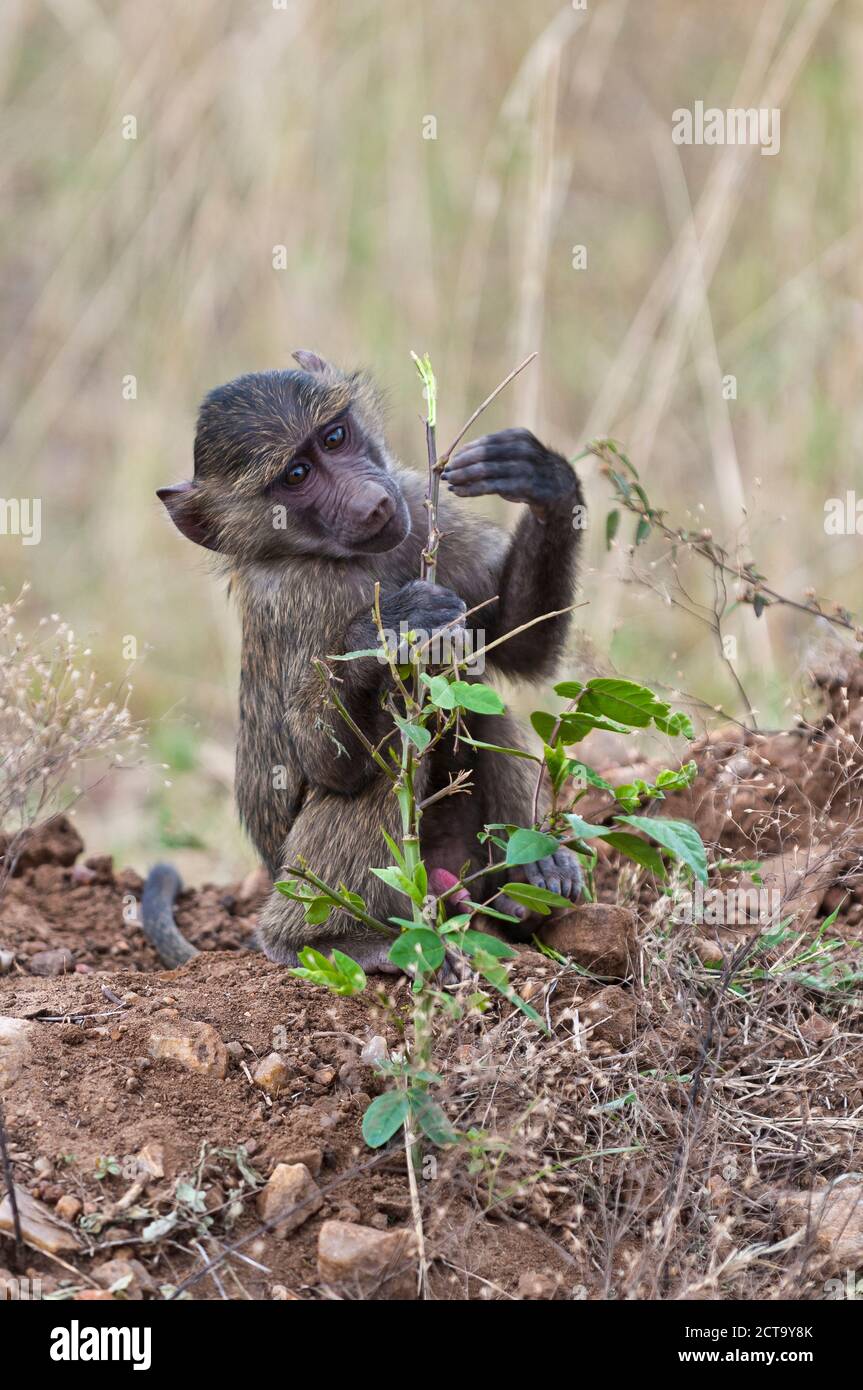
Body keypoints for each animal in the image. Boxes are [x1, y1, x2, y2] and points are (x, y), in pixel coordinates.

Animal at [142, 350, 586, 975]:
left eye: (334, 437)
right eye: (296, 476)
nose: (373, 504)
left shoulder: (418, 506)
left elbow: (517, 646)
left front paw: (543, 480)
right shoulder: (301, 598)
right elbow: (331, 765)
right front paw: (391, 626)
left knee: (473, 705)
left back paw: (533, 878)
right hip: (320, 883)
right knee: (401, 738)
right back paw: (326, 941)